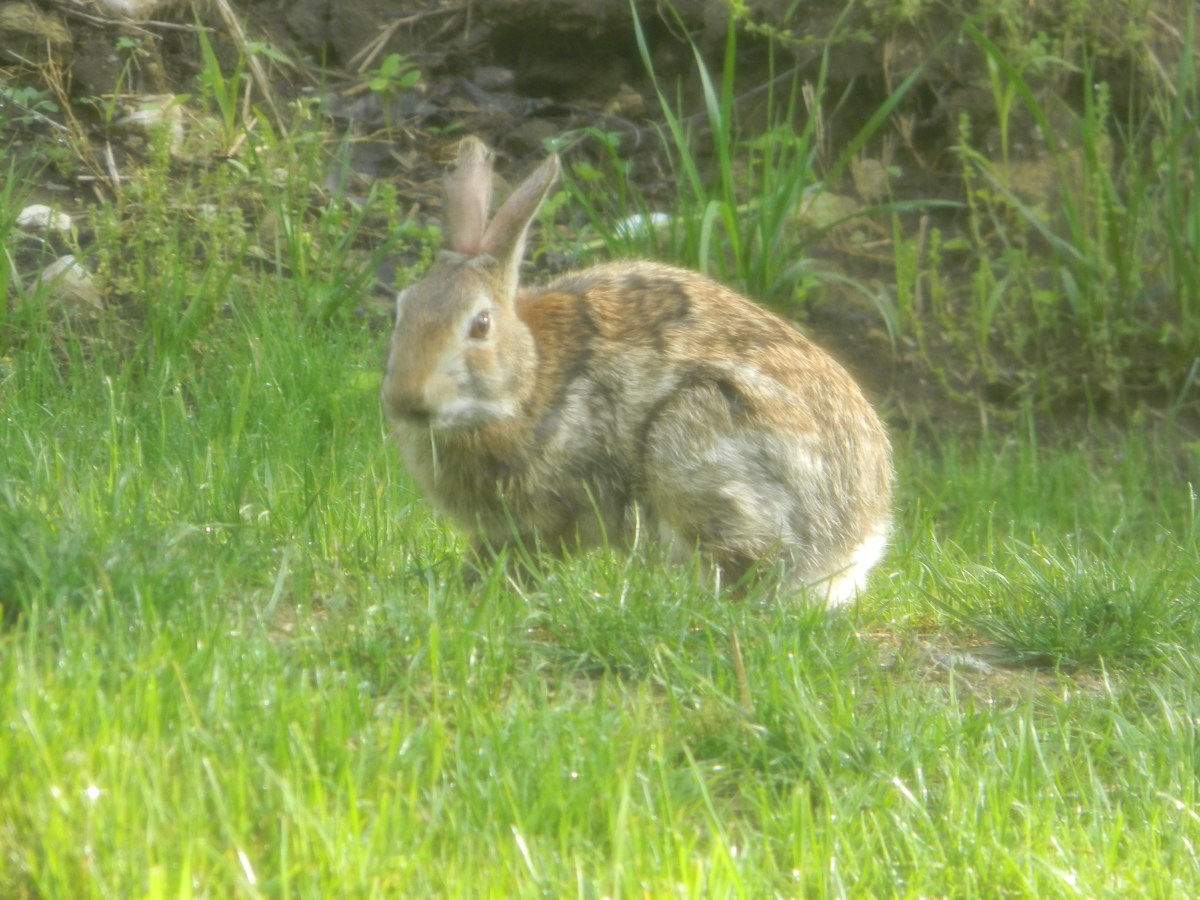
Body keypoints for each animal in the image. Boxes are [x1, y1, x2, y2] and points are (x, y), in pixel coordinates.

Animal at [381, 136, 894, 604]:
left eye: (480, 324)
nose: (406, 399)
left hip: (697, 442)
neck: (526, 384)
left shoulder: (561, 505)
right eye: (401, 310)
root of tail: (855, 540)